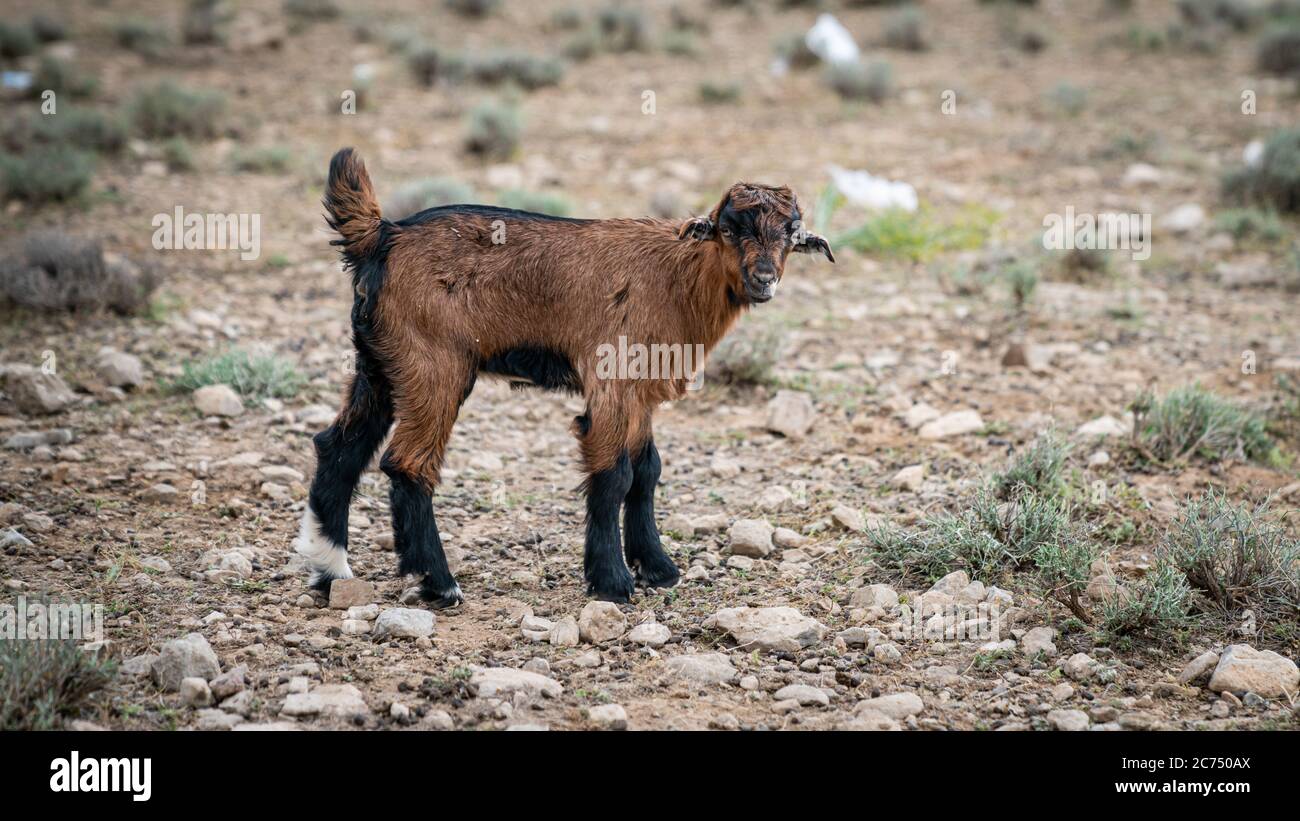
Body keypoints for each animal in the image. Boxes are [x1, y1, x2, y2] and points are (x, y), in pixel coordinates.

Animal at [295, 148, 834, 606]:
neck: (675, 278)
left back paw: (330, 569)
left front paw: (658, 568)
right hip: (434, 365)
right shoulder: (611, 380)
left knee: (339, 447)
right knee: (407, 464)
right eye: (729, 227)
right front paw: (612, 581)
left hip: (379, 365)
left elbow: (648, 471)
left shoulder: (640, 392)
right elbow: (615, 475)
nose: (763, 279)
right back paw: (440, 584)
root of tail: (382, 235)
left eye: (791, 232)